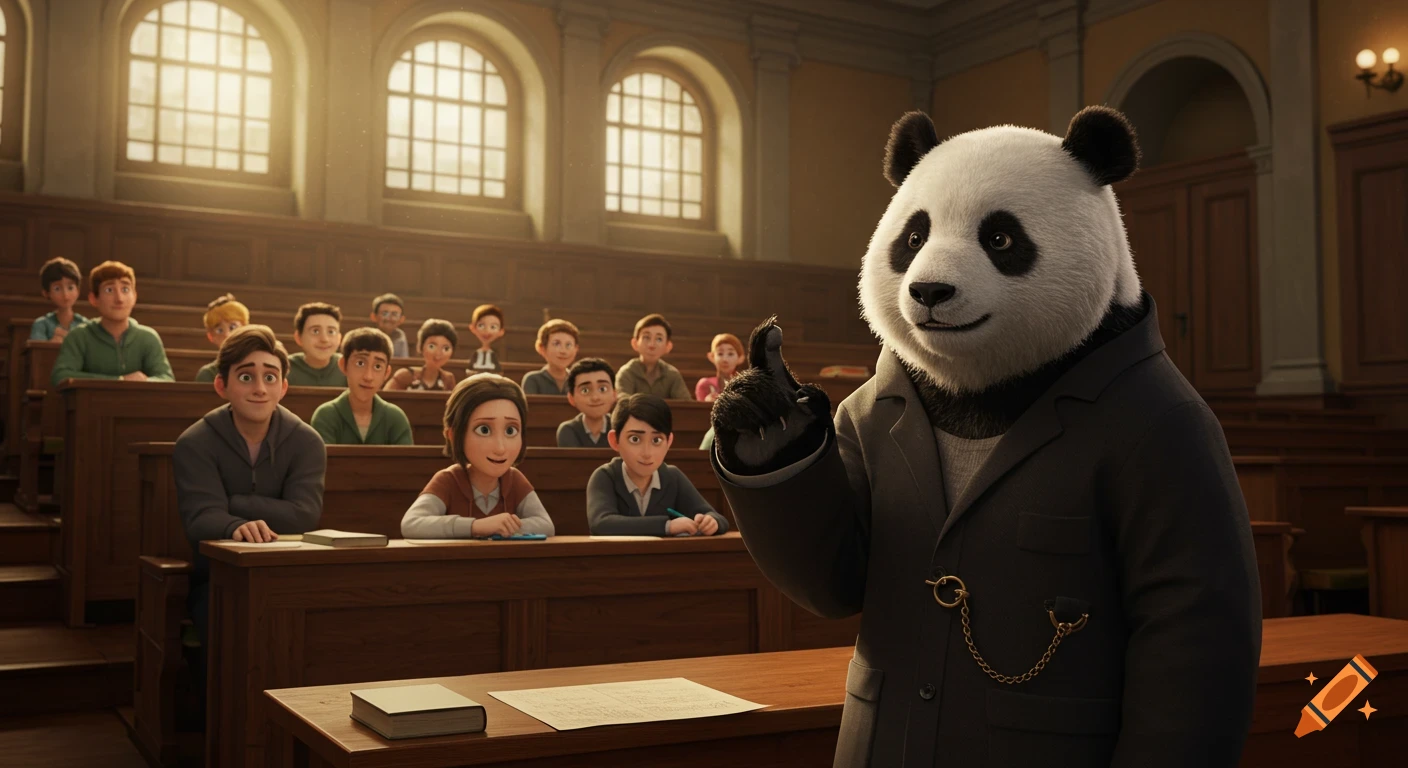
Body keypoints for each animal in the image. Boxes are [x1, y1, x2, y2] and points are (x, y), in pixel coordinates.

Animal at [709, 107, 1262, 767]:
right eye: (913, 238)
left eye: (1000, 239)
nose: (929, 292)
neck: (979, 387)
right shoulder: (863, 416)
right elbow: (839, 565)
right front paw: (768, 419)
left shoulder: (1164, 431)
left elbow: (1185, 605)